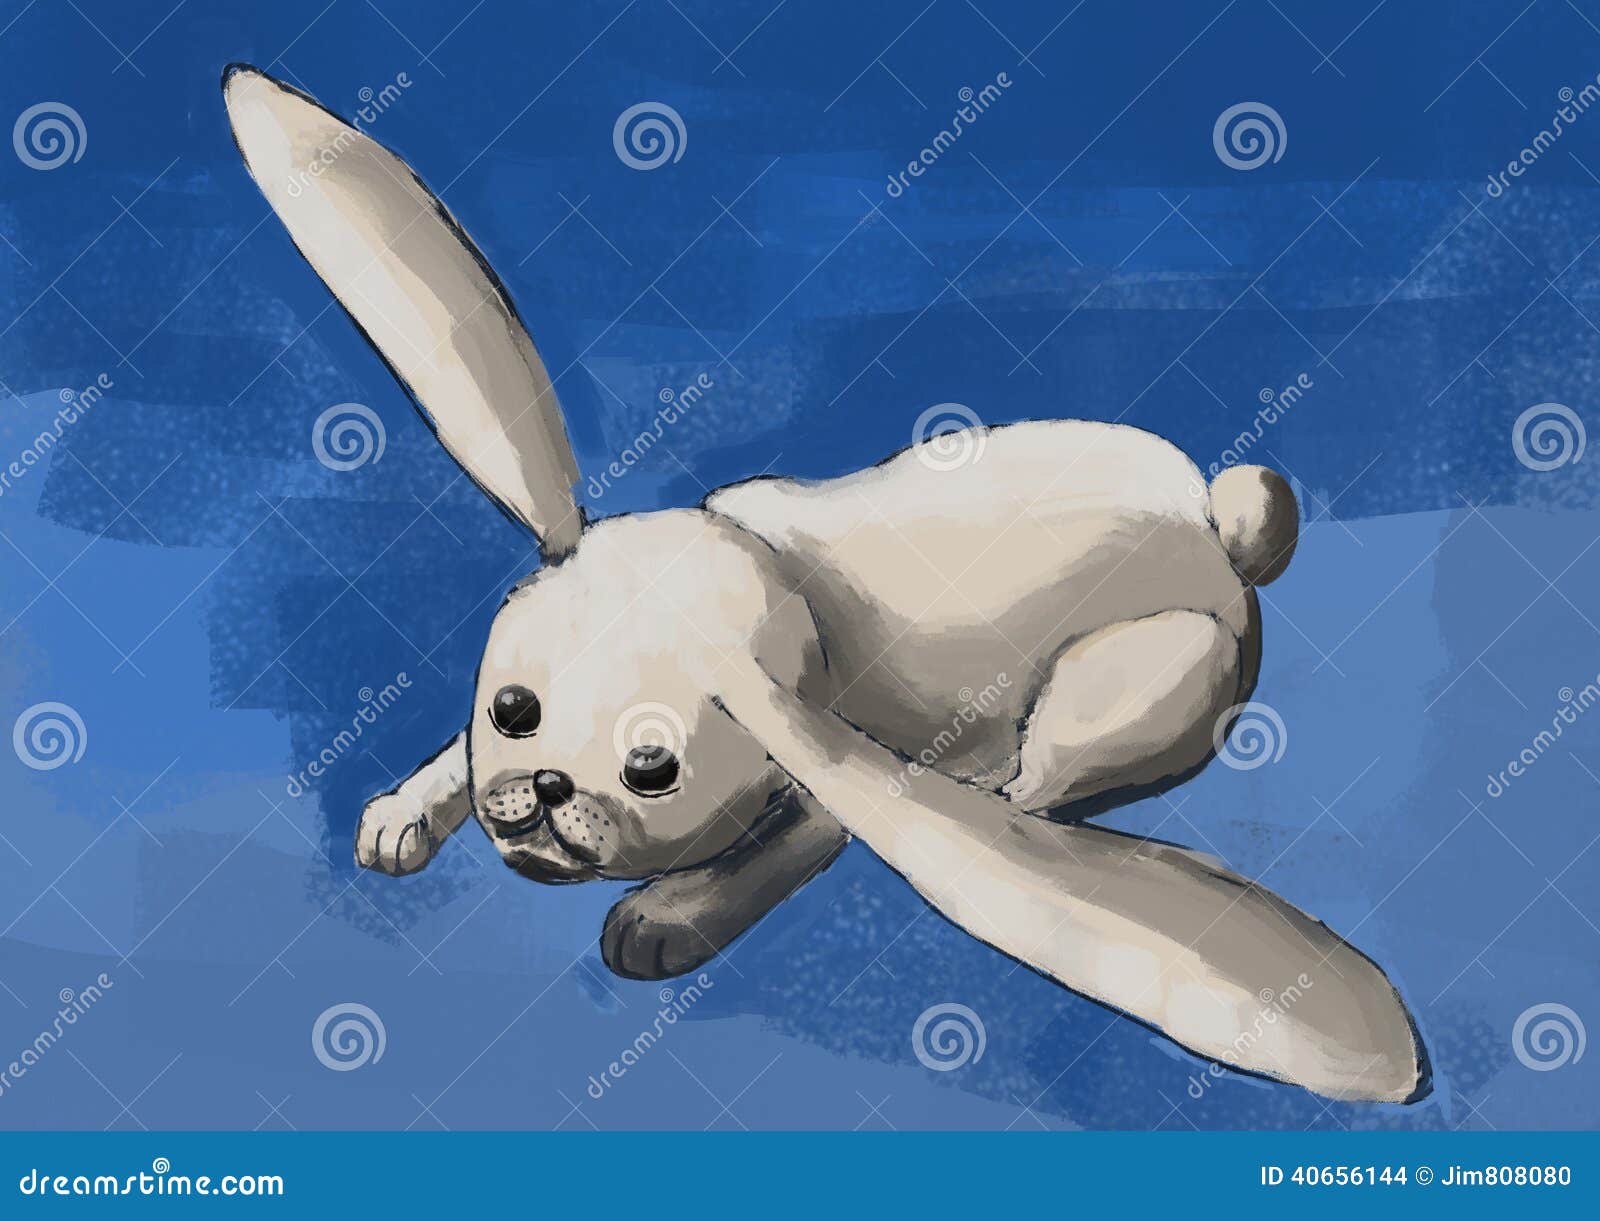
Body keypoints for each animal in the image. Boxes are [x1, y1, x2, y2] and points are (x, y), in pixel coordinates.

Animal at [223, 64, 1429, 1104]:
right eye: (512, 710)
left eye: (652, 768)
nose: (551, 788)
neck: (776, 579)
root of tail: (1219, 530)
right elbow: (451, 758)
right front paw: (406, 810)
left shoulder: (816, 757)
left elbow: (796, 844)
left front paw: (669, 916)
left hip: (1136, 682)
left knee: (1031, 787)